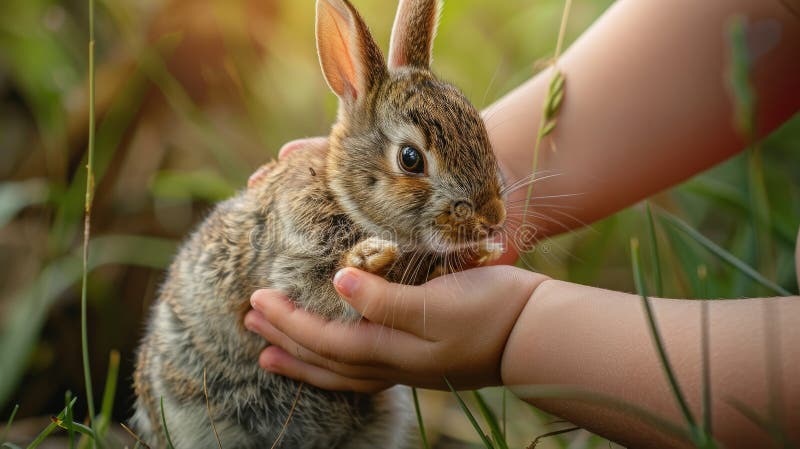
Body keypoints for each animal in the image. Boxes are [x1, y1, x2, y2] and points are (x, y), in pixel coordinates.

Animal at [130, 0, 507, 448]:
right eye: (411, 159)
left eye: (482, 131)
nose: (492, 219)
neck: (342, 196)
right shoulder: (293, 257)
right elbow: (316, 289)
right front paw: (370, 259)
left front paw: (480, 253)